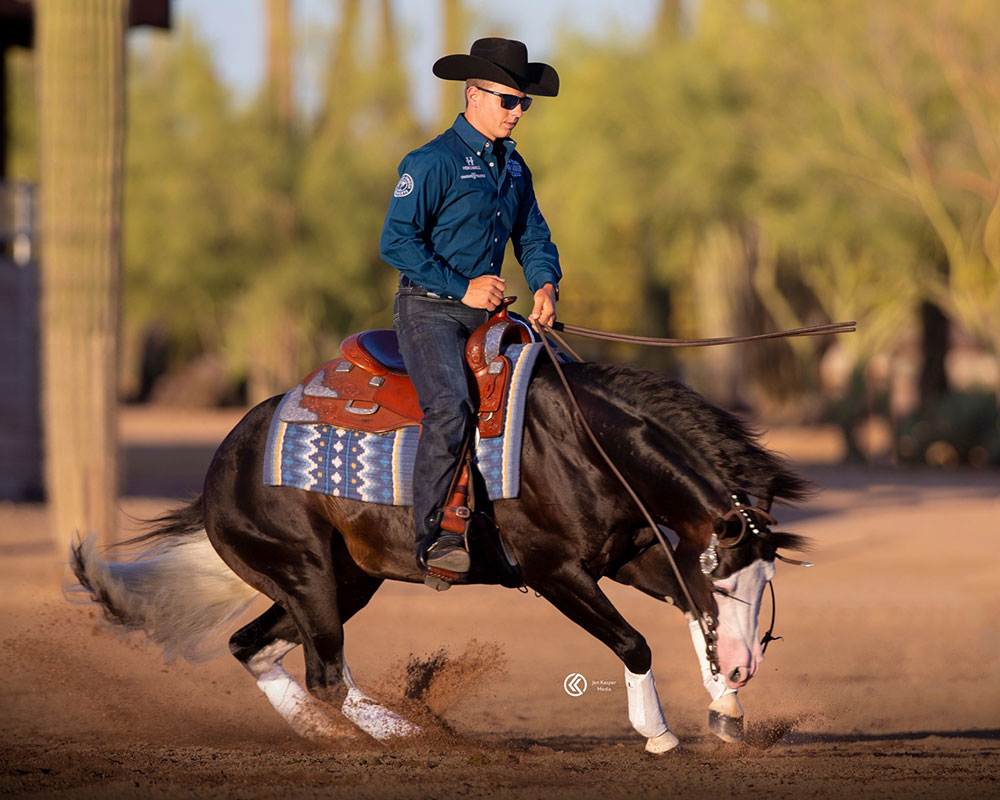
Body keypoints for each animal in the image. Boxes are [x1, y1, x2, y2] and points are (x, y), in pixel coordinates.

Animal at [70, 354, 811, 754]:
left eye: (766, 580)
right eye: (728, 577)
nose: (746, 666)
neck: (580, 441)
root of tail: (222, 468)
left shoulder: (627, 557)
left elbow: (683, 609)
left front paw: (726, 709)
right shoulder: (554, 572)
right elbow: (634, 641)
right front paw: (657, 729)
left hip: (341, 582)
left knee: (252, 647)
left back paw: (332, 733)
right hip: (307, 575)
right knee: (325, 672)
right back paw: (402, 733)